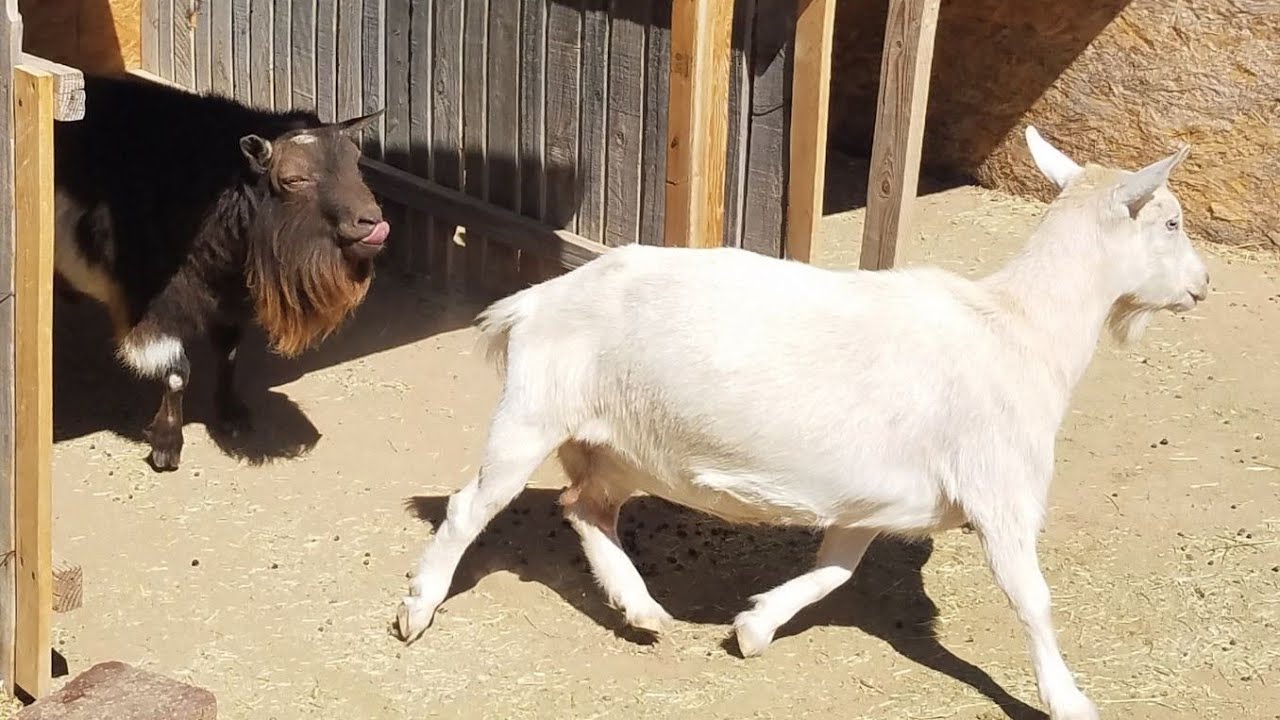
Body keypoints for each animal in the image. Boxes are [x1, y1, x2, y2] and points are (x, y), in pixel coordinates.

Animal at [54, 74, 388, 471]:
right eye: (293, 179)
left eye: (356, 163)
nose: (371, 224)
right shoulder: (152, 304)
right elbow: (176, 373)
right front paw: (167, 444)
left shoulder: (226, 293)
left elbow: (228, 352)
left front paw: (231, 412)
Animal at [394, 127, 1209, 720]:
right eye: (1170, 221)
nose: (1202, 286)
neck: (1020, 327)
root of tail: (533, 302)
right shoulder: (1000, 490)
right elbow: (1032, 599)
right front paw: (1070, 701)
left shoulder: (871, 503)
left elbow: (835, 571)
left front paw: (753, 627)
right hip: (534, 411)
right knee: (472, 506)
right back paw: (417, 610)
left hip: (616, 441)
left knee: (584, 505)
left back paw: (643, 610)